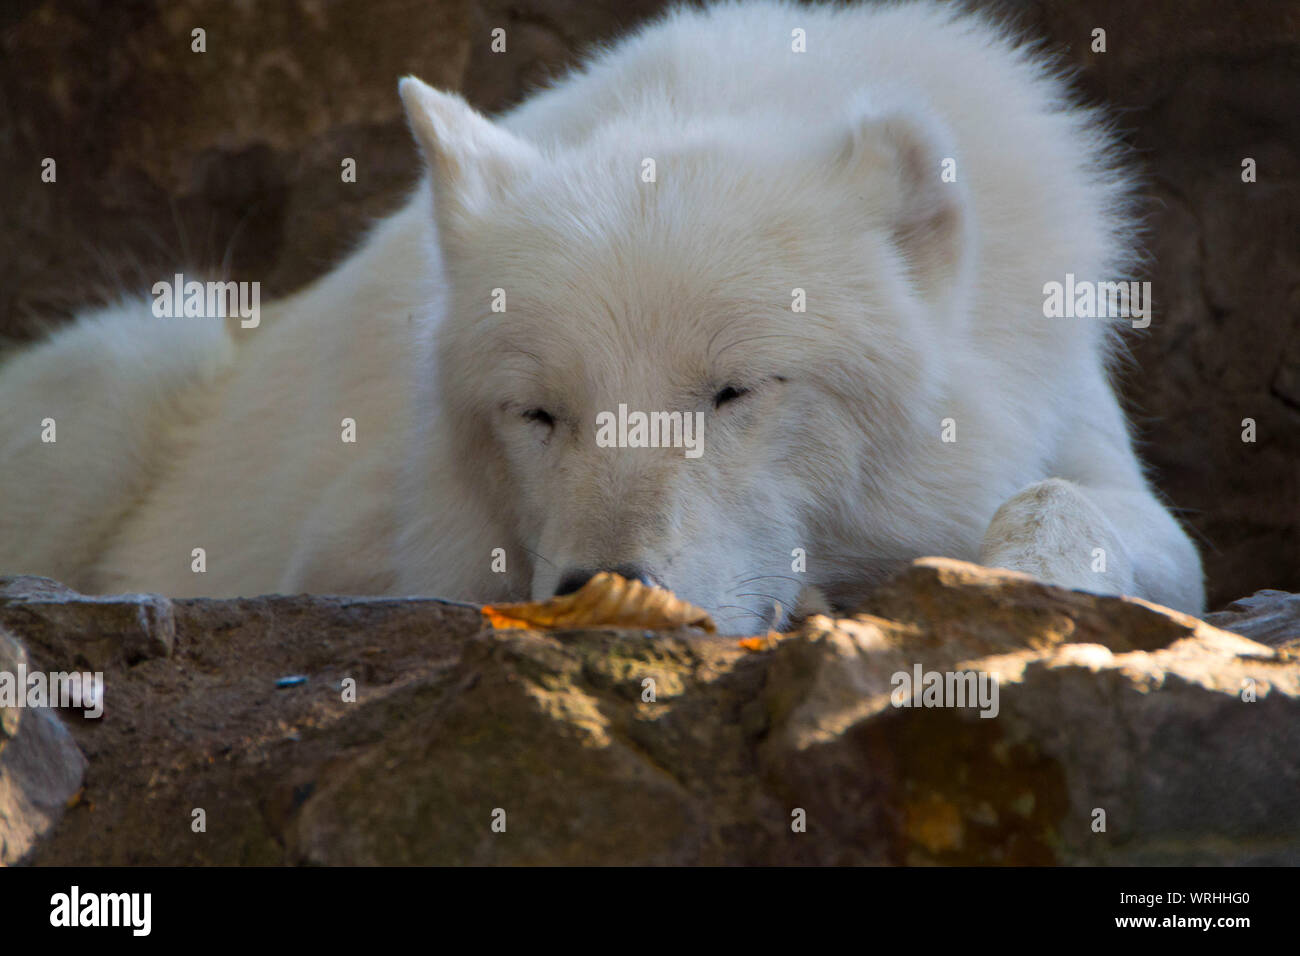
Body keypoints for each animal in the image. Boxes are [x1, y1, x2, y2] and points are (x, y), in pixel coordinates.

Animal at [0, 0, 1203, 633]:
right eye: (539, 413)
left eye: (735, 390)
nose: (603, 591)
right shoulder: (353, 542)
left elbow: (1074, 507)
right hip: (143, 359)